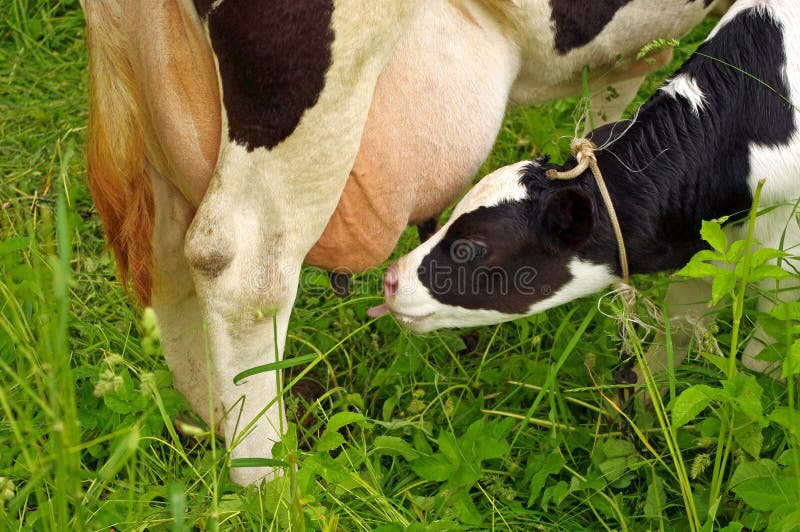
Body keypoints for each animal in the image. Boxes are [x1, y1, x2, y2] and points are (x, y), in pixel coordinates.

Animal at [371, 0, 800, 387]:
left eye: (470, 248)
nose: (391, 278)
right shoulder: (711, 246)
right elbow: (681, 324)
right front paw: (647, 398)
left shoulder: (785, 262)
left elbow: (761, 362)